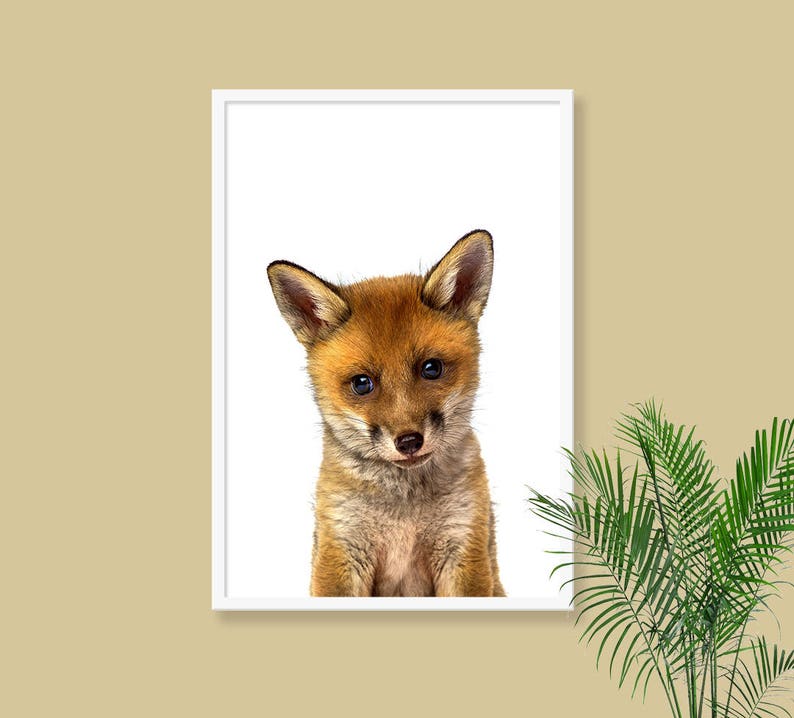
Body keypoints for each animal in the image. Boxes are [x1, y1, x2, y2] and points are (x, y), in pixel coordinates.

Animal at [266, 229, 505, 597]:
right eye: (362, 384)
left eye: (431, 369)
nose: (409, 442)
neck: (403, 513)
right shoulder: (341, 551)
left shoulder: (463, 545)